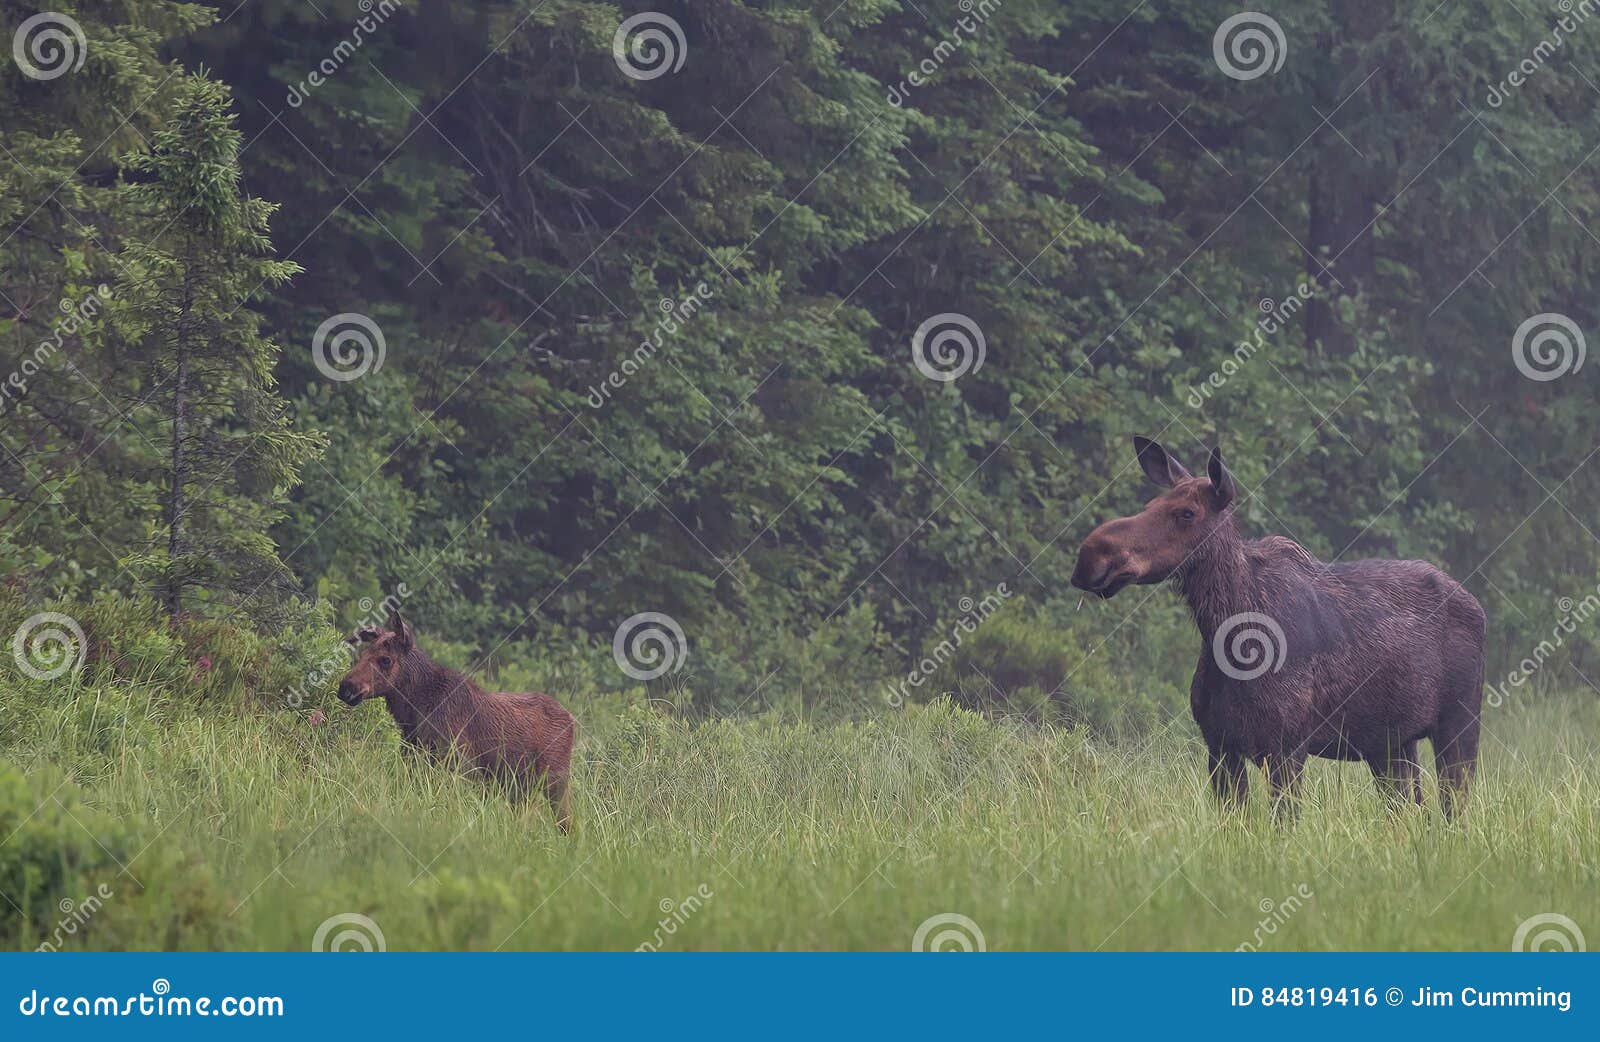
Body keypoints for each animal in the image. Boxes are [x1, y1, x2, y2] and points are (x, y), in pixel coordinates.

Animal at [336, 613, 575, 831]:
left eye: (385, 659)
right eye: (363, 653)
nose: (345, 688)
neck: (415, 710)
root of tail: (572, 720)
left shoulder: (460, 764)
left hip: (555, 780)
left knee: (568, 824)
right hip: (522, 787)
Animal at [1071, 437, 1484, 821]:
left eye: (1186, 513)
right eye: (1149, 506)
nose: (1090, 556)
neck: (1228, 639)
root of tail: (1477, 606)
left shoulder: (1287, 747)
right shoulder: (1219, 745)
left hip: (1459, 724)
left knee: (1454, 811)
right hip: (1392, 744)